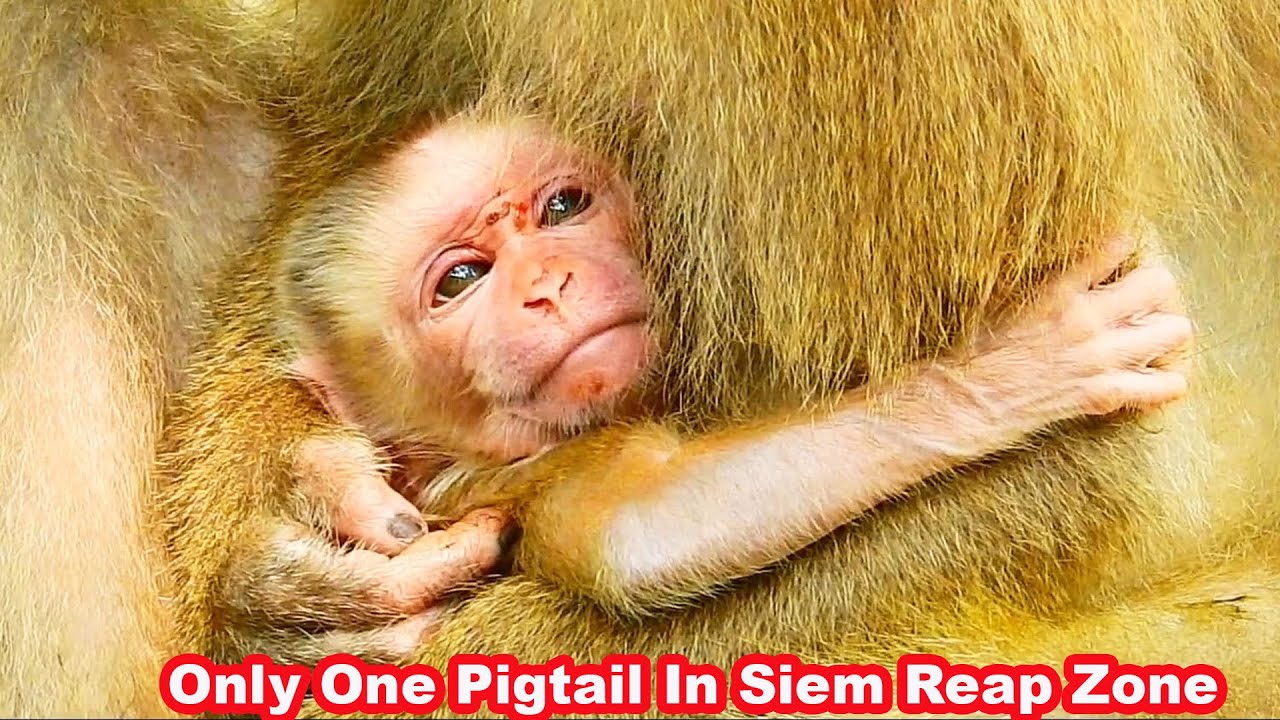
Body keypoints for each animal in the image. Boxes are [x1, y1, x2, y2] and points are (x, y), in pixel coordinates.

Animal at [271, 115, 1192, 619]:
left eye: (563, 206)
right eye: (460, 280)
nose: (548, 285)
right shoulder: (526, 471)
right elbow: (641, 531)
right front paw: (1014, 371)